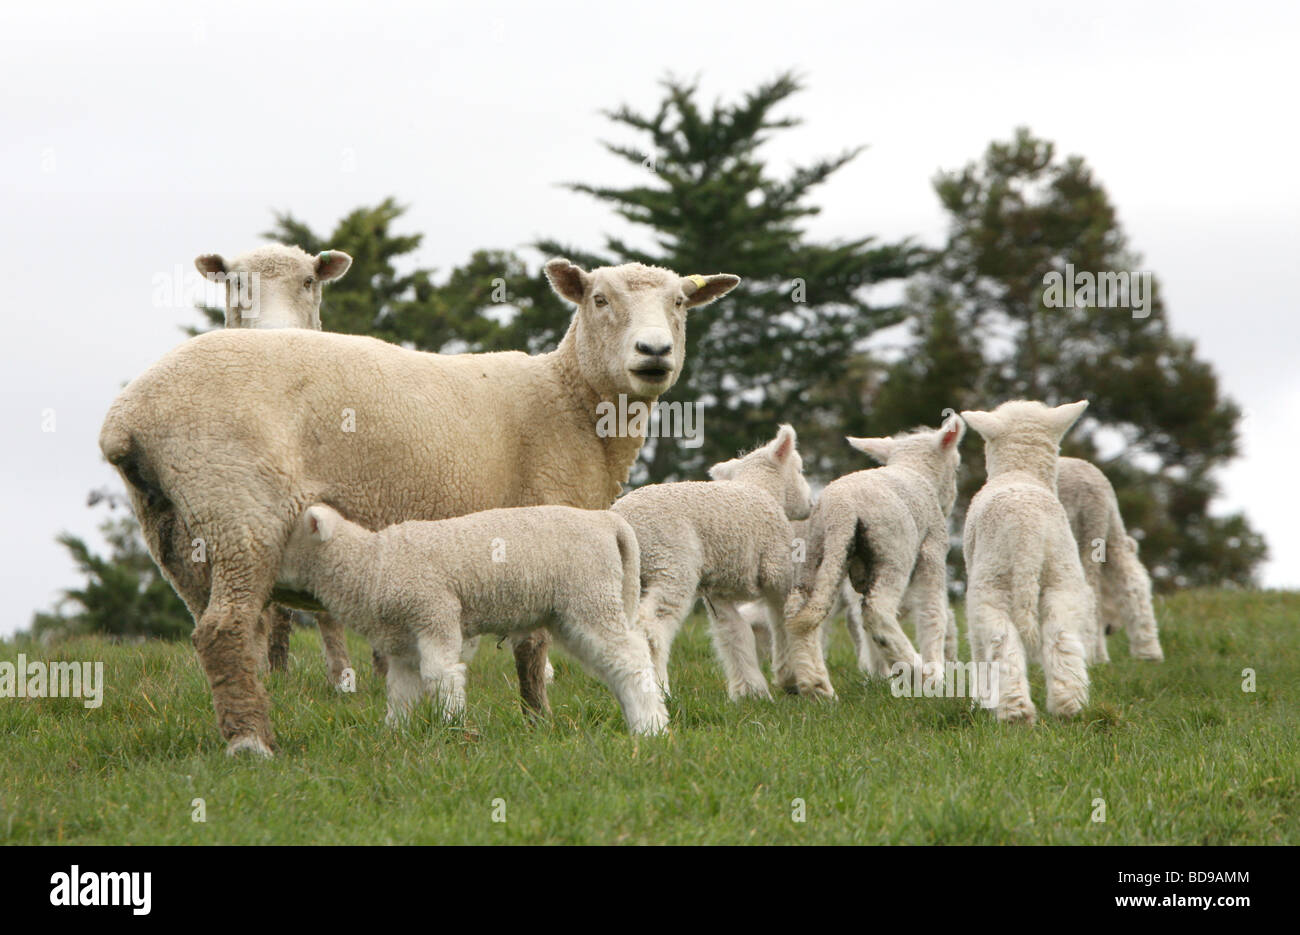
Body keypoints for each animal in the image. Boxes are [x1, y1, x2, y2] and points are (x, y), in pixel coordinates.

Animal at [278, 504, 668, 735]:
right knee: (616, 664)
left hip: (590, 599)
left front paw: (452, 726)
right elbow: (400, 691)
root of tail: (608, 522)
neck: (373, 566)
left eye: (286, 540)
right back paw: (638, 721)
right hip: (576, 611)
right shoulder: (404, 642)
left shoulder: (435, 614)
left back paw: (651, 728)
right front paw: (394, 733)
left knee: (631, 661)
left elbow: (441, 676)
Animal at [610, 425, 817, 700]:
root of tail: (622, 521)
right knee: (651, 627)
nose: (810, 505)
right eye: (800, 469)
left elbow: (736, 634)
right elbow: (781, 625)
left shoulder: (719, 591)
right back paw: (659, 689)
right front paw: (791, 678)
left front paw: (750, 691)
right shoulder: (778, 572)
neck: (763, 490)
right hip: (671, 564)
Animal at [784, 416, 965, 698]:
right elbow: (933, 613)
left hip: (813, 554)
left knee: (798, 614)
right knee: (877, 611)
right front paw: (936, 675)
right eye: (956, 467)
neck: (915, 472)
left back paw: (817, 687)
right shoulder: (932, 550)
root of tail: (841, 509)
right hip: (892, 550)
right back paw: (917, 672)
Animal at [960, 400, 1093, 724]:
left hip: (991, 583)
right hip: (1062, 577)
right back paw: (1069, 708)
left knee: (1001, 643)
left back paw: (1014, 713)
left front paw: (979, 701)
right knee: (1062, 637)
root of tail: (1027, 533)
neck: (1020, 470)